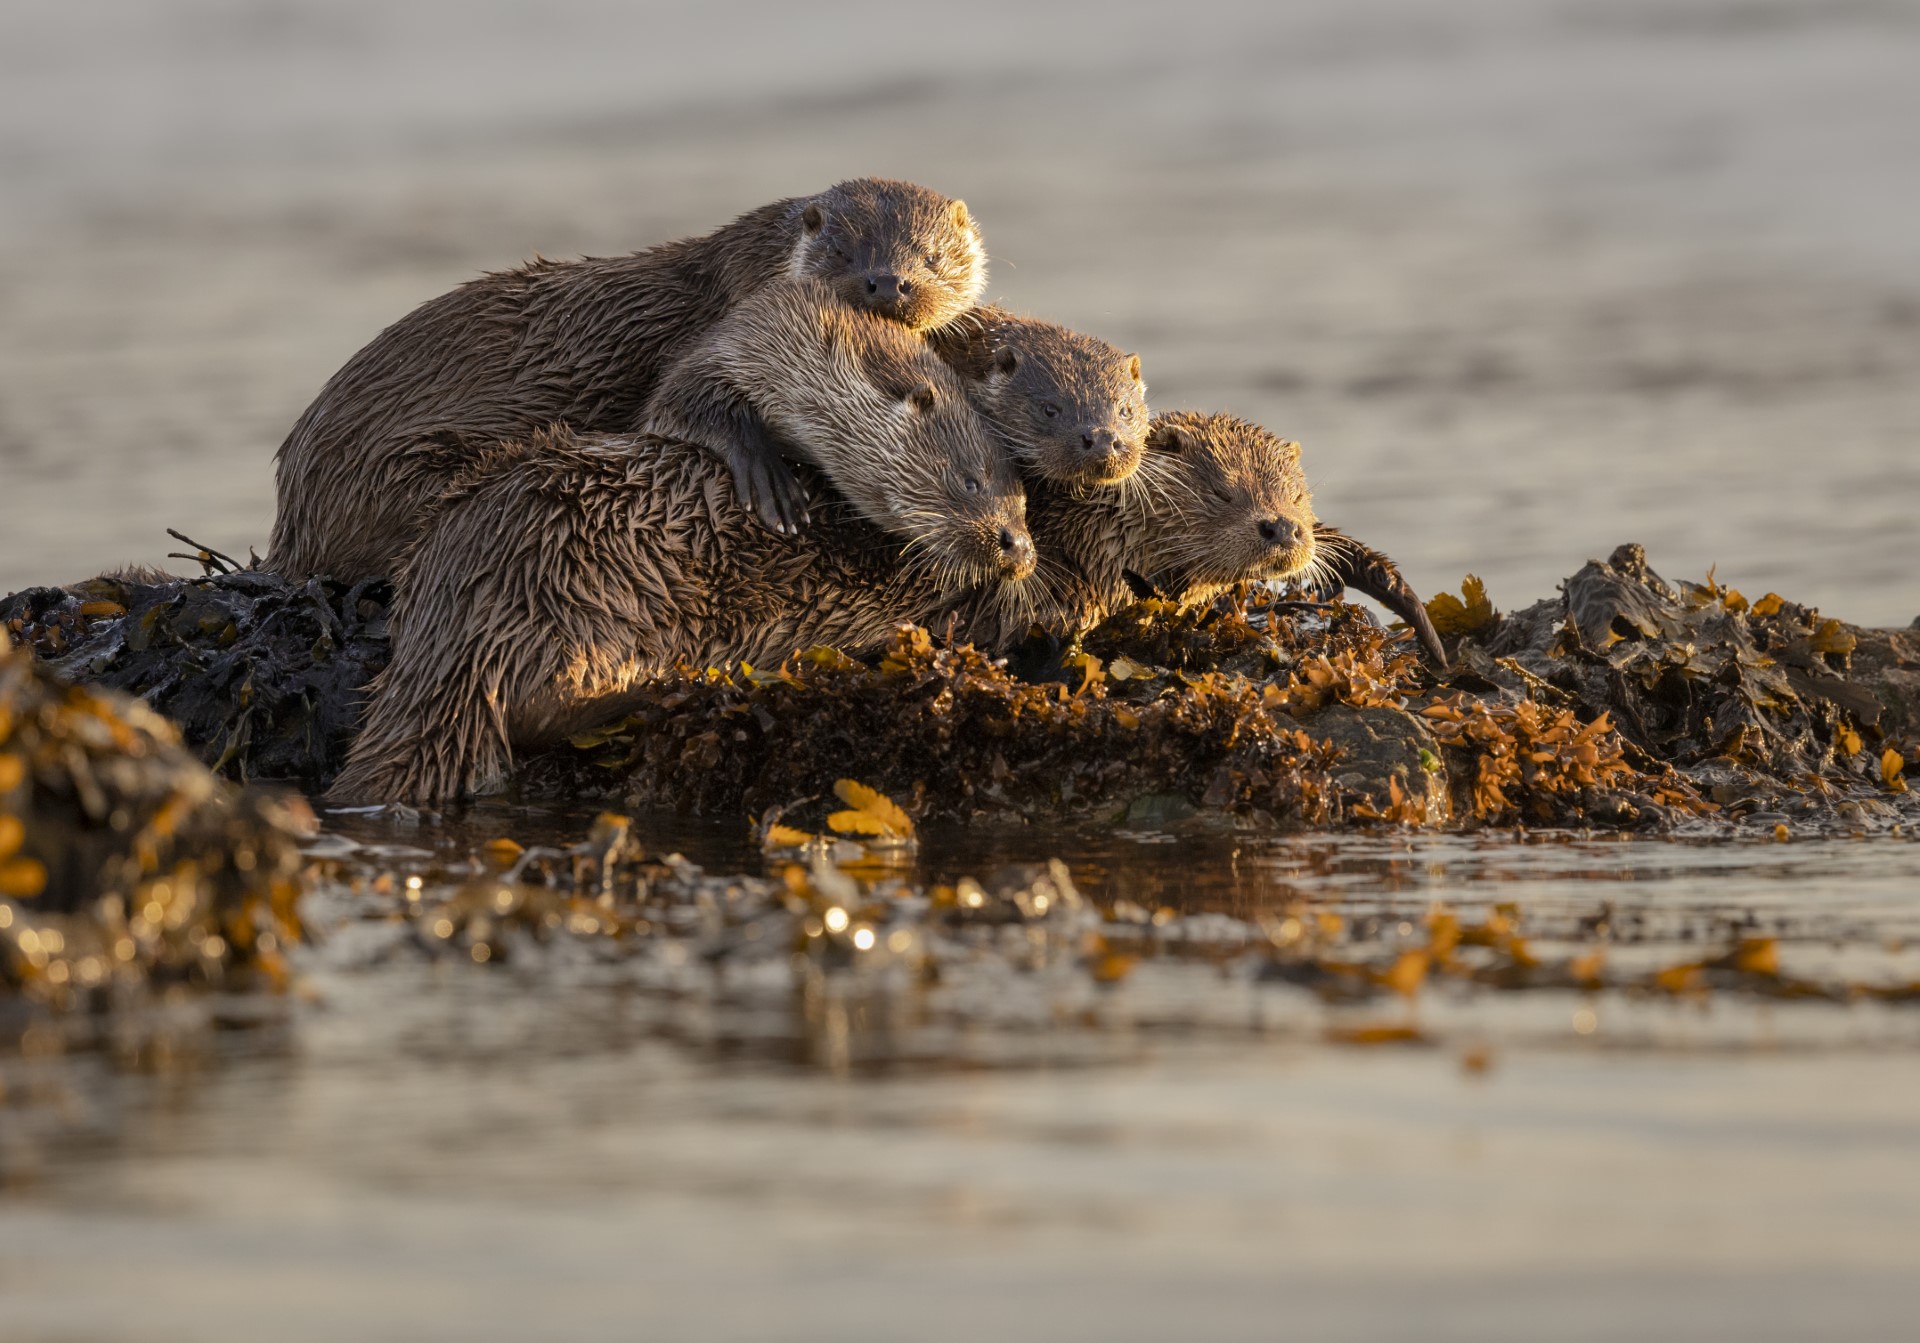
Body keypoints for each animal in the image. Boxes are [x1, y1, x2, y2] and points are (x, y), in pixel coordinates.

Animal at [268, 178, 986, 581]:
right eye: (843, 251)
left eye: (931, 257)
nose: (887, 282)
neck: (749, 271)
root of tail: (293, 513)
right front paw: (765, 473)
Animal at [328, 411, 1320, 805]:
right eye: (1226, 490)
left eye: (1299, 493)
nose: (1283, 531)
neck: (1070, 516)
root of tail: (465, 598)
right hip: (595, 581)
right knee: (543, 700)